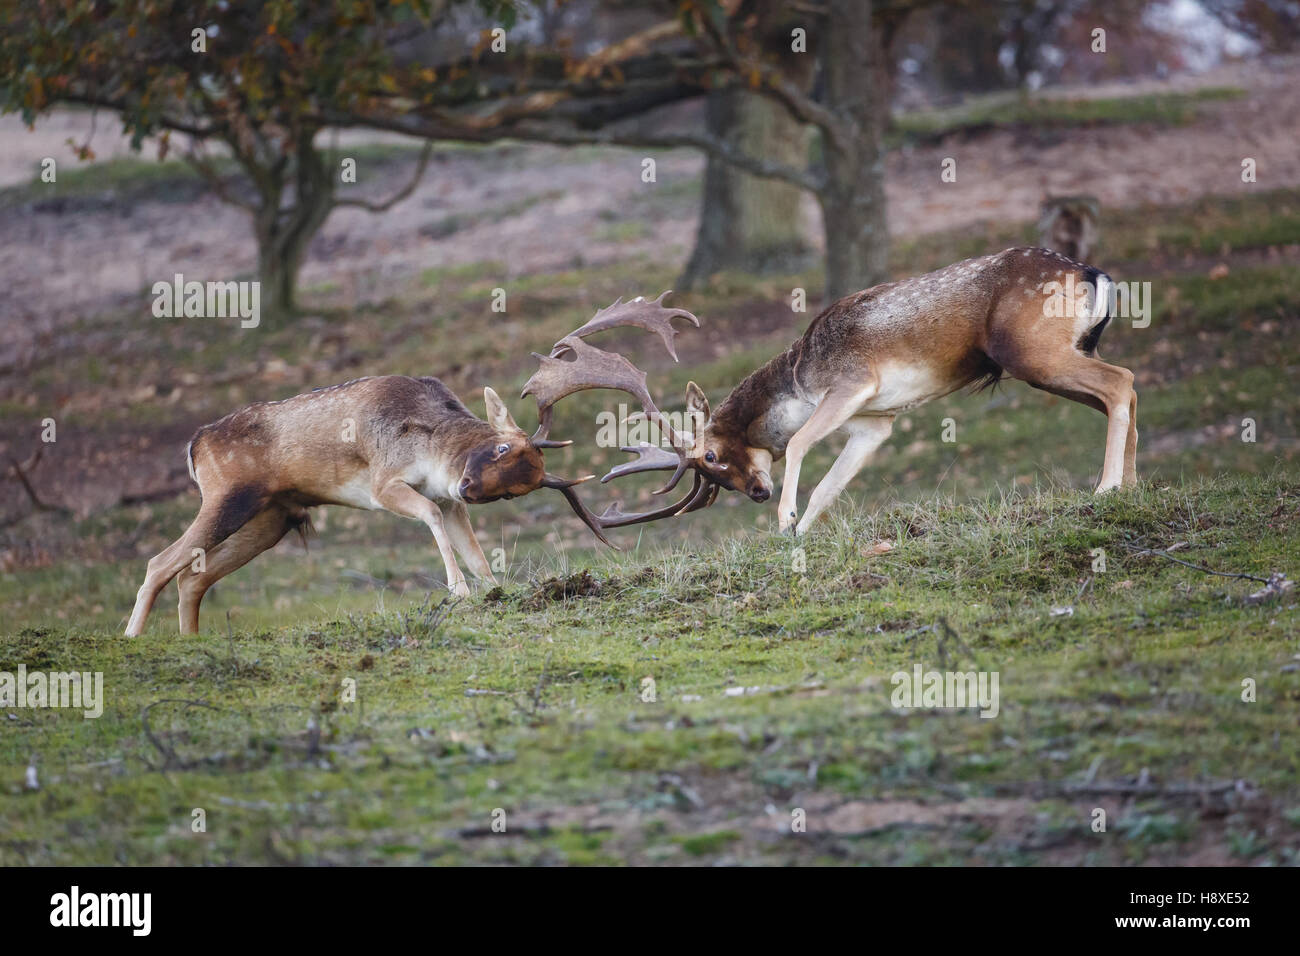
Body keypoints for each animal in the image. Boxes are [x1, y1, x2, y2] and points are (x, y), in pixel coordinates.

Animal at [124, 375, 614, 637]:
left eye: (515, 491)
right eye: (500, 448)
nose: (469, 486)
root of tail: (194, 445)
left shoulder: (447, 498)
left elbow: (476, 553)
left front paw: (494, 589)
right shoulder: (382, 484)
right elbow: (431, 516)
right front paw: (458, 590)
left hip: (272, 517)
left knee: (192, 575)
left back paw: (190, 640)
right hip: (227, 495)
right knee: (158, 562)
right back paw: (131, 635)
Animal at [527, 249, 1137, 540]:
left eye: (711, 457)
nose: (758, 494)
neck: (799, 378)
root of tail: (1095, 275)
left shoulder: (852, 382)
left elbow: (799, 445)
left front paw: (785, 521)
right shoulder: (875, 420)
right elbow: (832, 486)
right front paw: (800, 532)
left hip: (1031, 352)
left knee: (1122, 380)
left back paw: (1107, 487)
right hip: (1061, 353)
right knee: (1123, 388)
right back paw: (1130, 485)